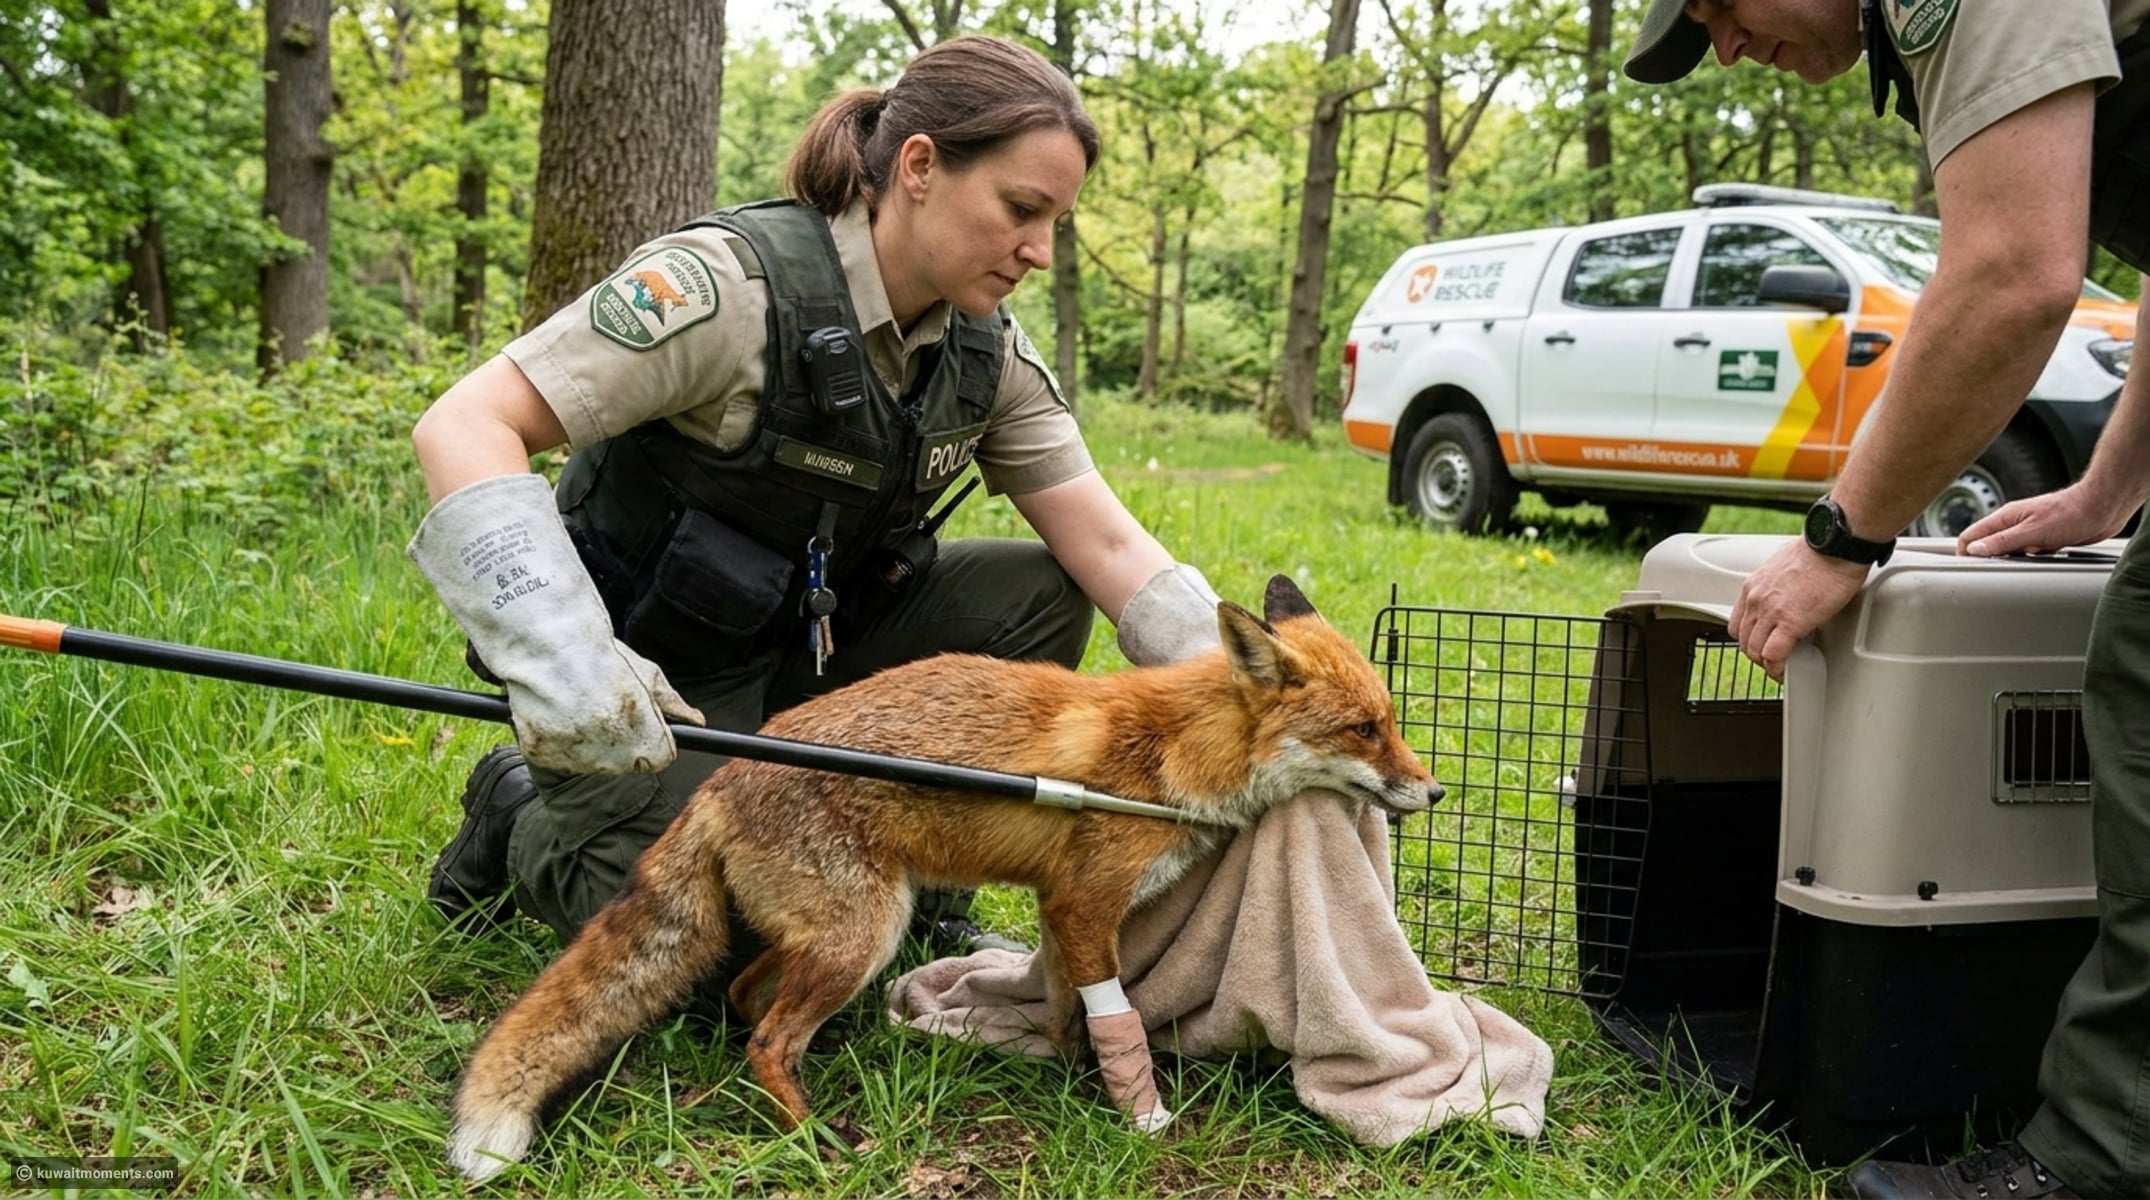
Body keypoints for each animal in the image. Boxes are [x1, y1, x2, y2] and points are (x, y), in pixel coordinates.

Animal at [446, 574, 1441, 1181]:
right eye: (1362, 730)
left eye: (1392, 721)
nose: (1432, 791)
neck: (1176, 752)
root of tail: (721, 777)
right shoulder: (1086, 902)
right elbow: (1112, 1013)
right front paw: (1141, 1116)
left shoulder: (1056, 910)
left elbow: (1072, 1012)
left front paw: (1068, 1083)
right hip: (866, 932)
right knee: (768, 1035)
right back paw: (817, 1140)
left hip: (835, 935)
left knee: (745, 995)